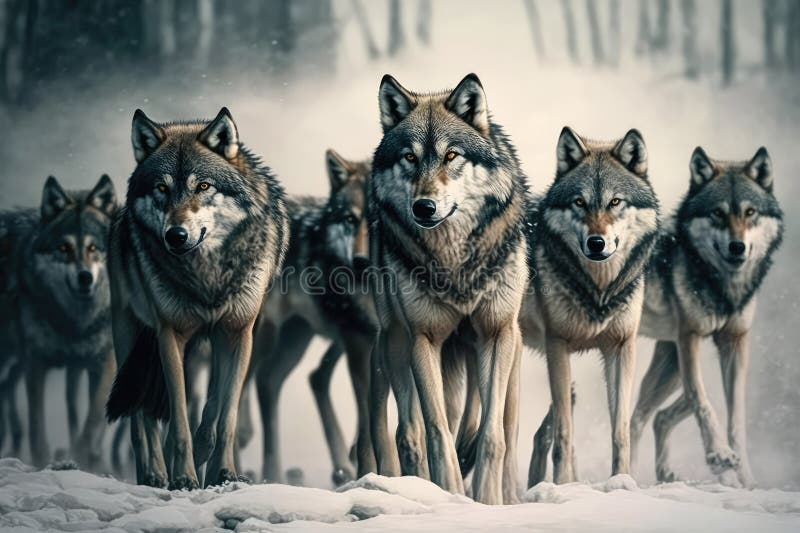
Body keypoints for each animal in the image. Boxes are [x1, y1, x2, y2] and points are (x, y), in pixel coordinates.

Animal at [0, 175, 118, 469]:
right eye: (64, 248)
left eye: (94, 248)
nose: (84, 277)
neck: (75, 324)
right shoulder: (36, 362)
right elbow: (37, 427)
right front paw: (44, 461)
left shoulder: (102, 363)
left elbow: (92, 421)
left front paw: (82, 458)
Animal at [105, 108, 289, 489]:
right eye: (161, 188)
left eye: (203, 186)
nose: (175, 235)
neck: (208, 276)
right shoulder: (170, 335)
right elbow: (179, 422)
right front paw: (185, 477)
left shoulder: (236, 333)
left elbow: (224, 416)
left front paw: (222, 472)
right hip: (130, 333)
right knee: (140, 416)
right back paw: (154, 474)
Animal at [367, 73, 529, 504]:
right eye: (409, 157)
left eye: (451, 155)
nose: (423, 207)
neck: (454, 262)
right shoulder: (423, 338)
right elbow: (436, 432)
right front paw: (453, 496)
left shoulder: (495, 333)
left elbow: (492, 435)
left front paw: (487, 501)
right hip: (393, 344)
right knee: (406, 433)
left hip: (503, 353)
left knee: (505, 429)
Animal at [523, 127, 660, 486]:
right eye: (579, 202)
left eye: (615, 201)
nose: (596, 243)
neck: (598, 290)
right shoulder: (557, 345)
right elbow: (565, 434)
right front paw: (563, 487)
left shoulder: (621, 347)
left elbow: (620, 431)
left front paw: (621, 484)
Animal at [630, 146, 782, 488]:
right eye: (717, 213)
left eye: (750, 212)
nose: (737, 247)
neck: (722, 286)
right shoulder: (690, 337)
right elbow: (703, 400)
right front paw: (718, 454)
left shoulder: (735, 343)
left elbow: (735, 416)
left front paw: (746, 481)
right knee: (644, 416)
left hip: (670, 367)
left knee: (647, 417)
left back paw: (661, 475)